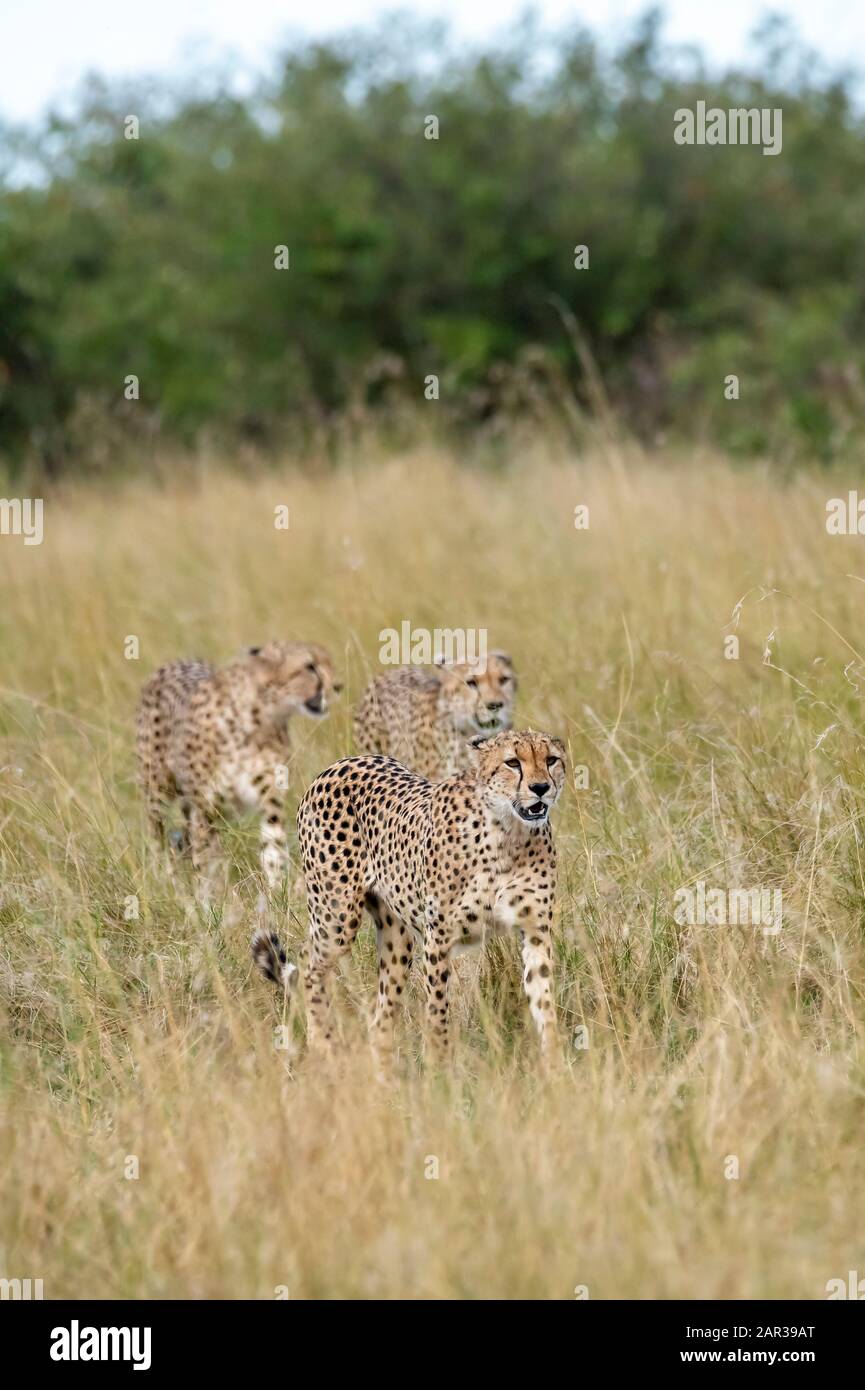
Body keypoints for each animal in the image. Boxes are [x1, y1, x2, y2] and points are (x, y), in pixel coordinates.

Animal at [136, 641, 339, 898]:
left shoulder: (270, 800)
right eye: (309, 666)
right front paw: (209, 899)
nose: (338, 686)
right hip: (158, 790)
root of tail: (176, 662)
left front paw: (276, 893)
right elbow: (206, 858)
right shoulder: (206, 806)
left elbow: (273, 849)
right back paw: (163, 876)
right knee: (158, 836)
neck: (257, 718)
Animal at [252, 728, 566, 1061]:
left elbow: (543, 999)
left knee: (380, 1014)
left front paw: (554, 1061)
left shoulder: (535, 930)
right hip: (336, 919)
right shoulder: (439, 937)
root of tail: (342, 762)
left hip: (397, 941)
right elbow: (438, 1008)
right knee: (309, 966)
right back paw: (322, 1044)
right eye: (512, 763)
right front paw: (439, 1064)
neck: (508, 834)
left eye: (551, 760)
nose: (541, 788)